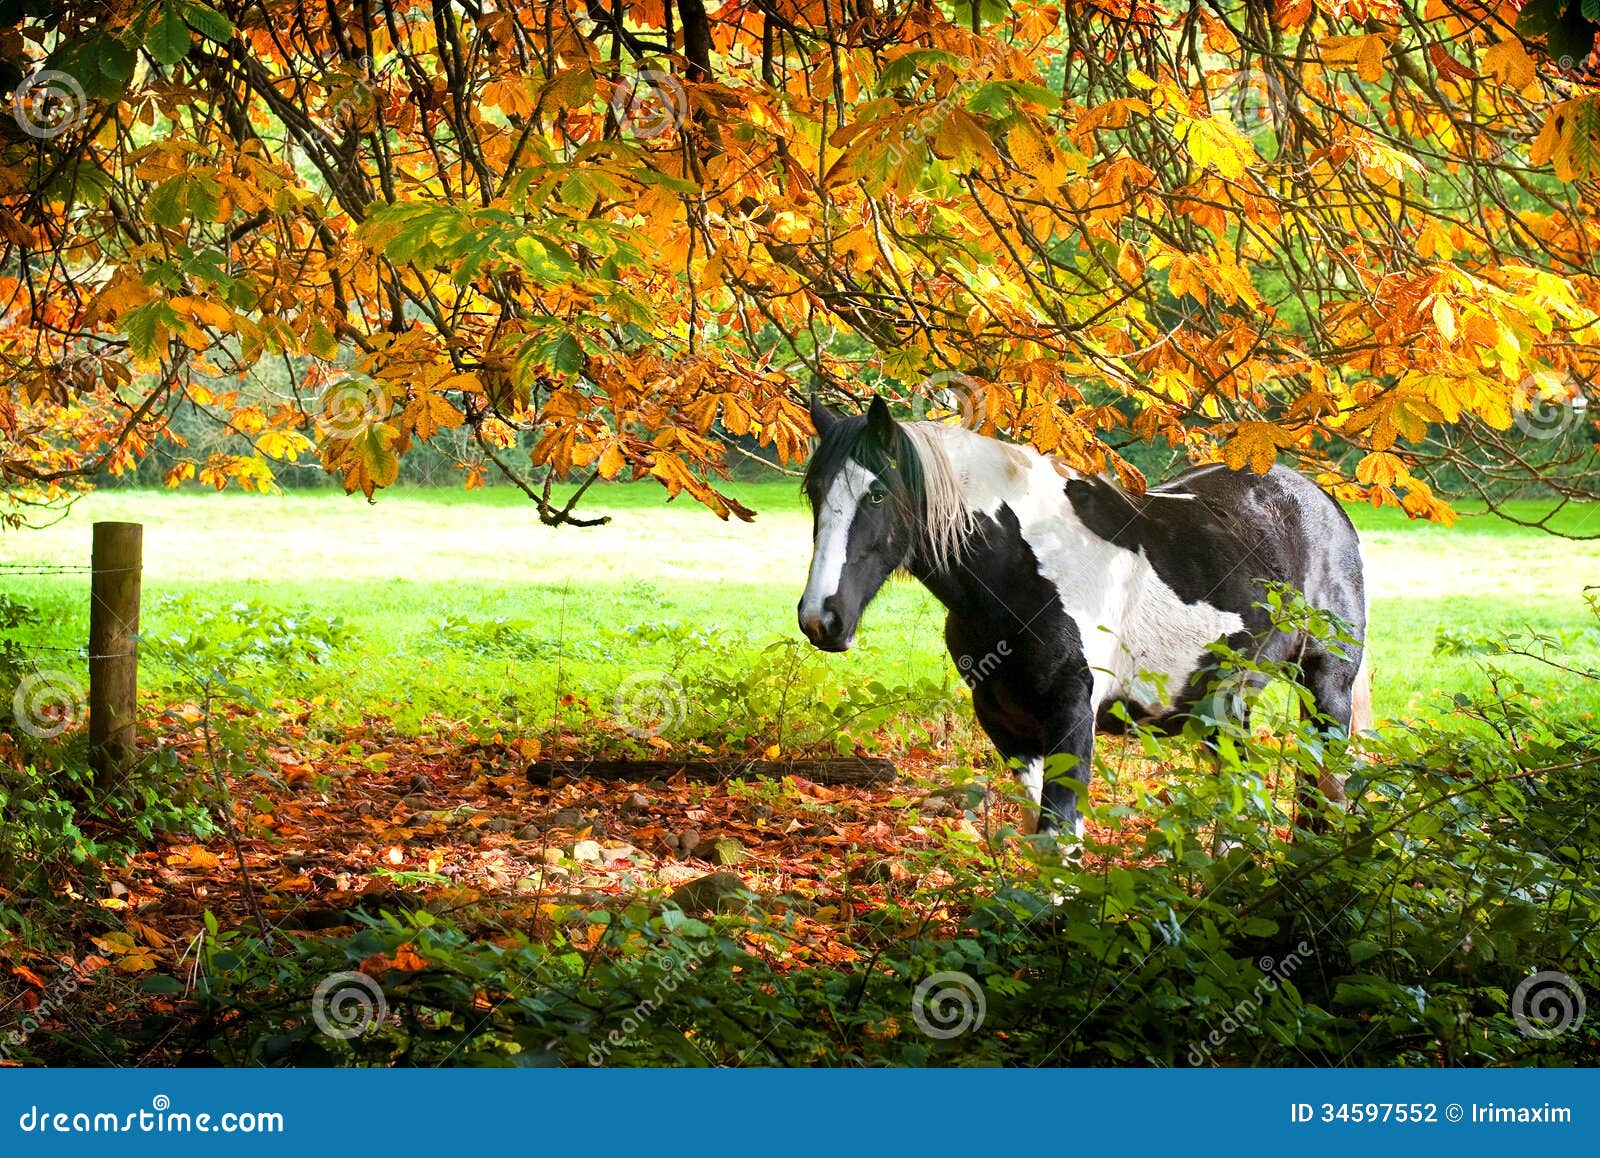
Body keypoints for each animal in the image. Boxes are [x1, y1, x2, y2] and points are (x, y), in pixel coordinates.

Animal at [796, 395, 1371, 840]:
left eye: (876, 493)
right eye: (814, 492)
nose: (821, 618)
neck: (1029, 567)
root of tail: (1323, 505)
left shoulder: (1073, 717)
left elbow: (1059, 838)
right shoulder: (1006, 723)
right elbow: (1036, 834)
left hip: (1326, 688)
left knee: (1322, 793)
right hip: (1220, 706)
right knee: (1240, 787)